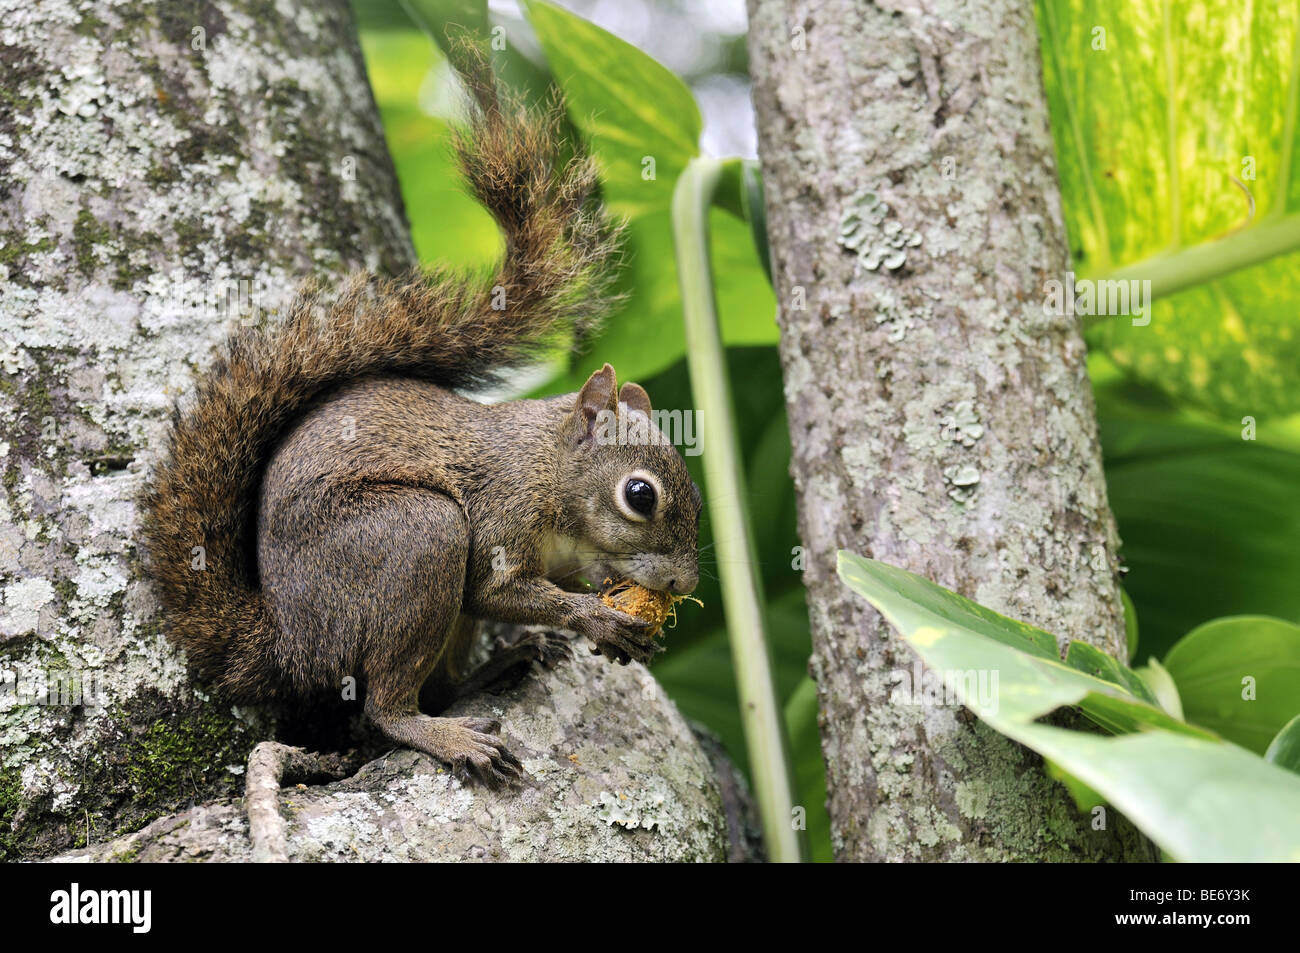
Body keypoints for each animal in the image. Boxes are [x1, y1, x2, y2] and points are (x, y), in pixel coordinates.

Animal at [138, 55, 701, 788]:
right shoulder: (502, 512)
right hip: (419, 538)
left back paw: (504, 663)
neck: (550, 474)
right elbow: (499, 589)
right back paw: (447, 733)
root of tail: (289, 641)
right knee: (387, 705)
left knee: (441, 684)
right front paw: (594, 617)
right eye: (640, 494)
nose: (685, 584)